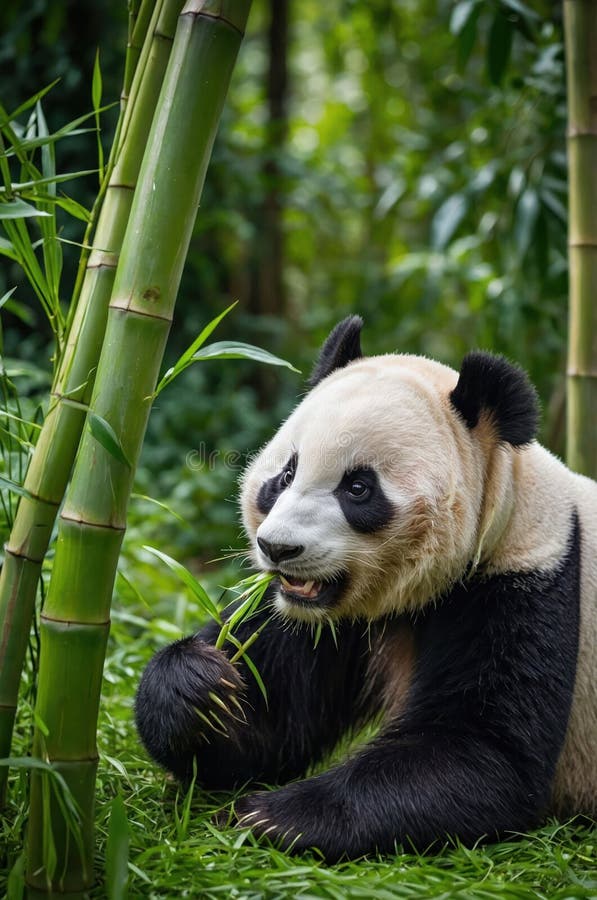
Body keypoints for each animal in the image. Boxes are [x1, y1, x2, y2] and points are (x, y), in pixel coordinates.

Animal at [136, 316, 597, 861]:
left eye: (358, 488)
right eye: (285, 474)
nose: (277, 548)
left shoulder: (525, 576)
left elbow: (484, 752)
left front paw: (271, 816)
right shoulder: (316, 617)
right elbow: (271, 721)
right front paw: (200, 686)